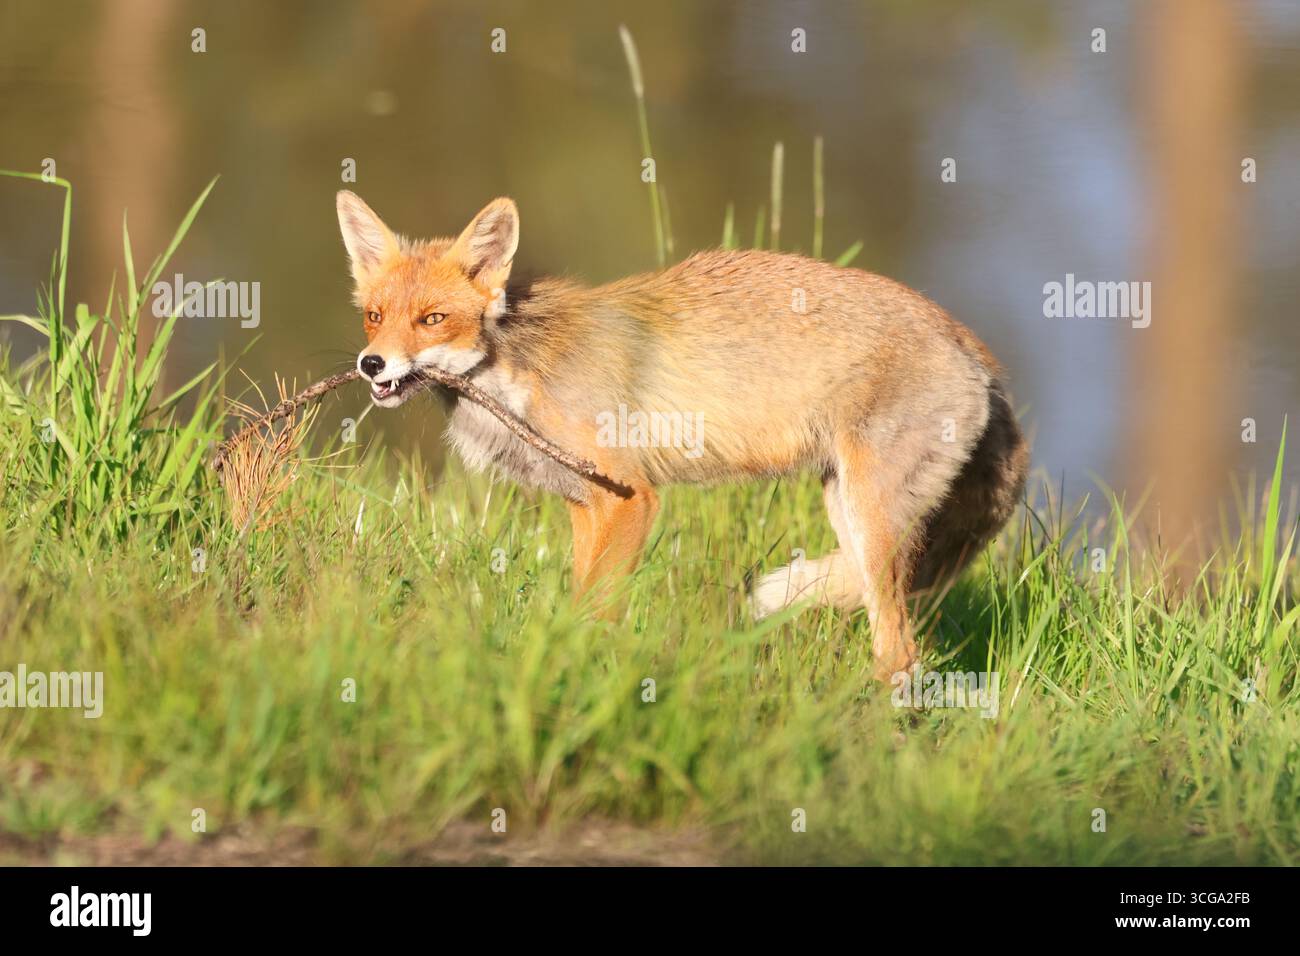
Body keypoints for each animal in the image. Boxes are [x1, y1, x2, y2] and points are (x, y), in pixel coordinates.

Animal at [336, 191, 1029, 680]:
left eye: (432, 319)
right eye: (375, 315)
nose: (371, 364)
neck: (522, 368)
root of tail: (972, 346)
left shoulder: (631, 497)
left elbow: (594, 607)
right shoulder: (587, 504)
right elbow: (586, 597)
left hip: (873, 522)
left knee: (900, 653)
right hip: (847, 510)